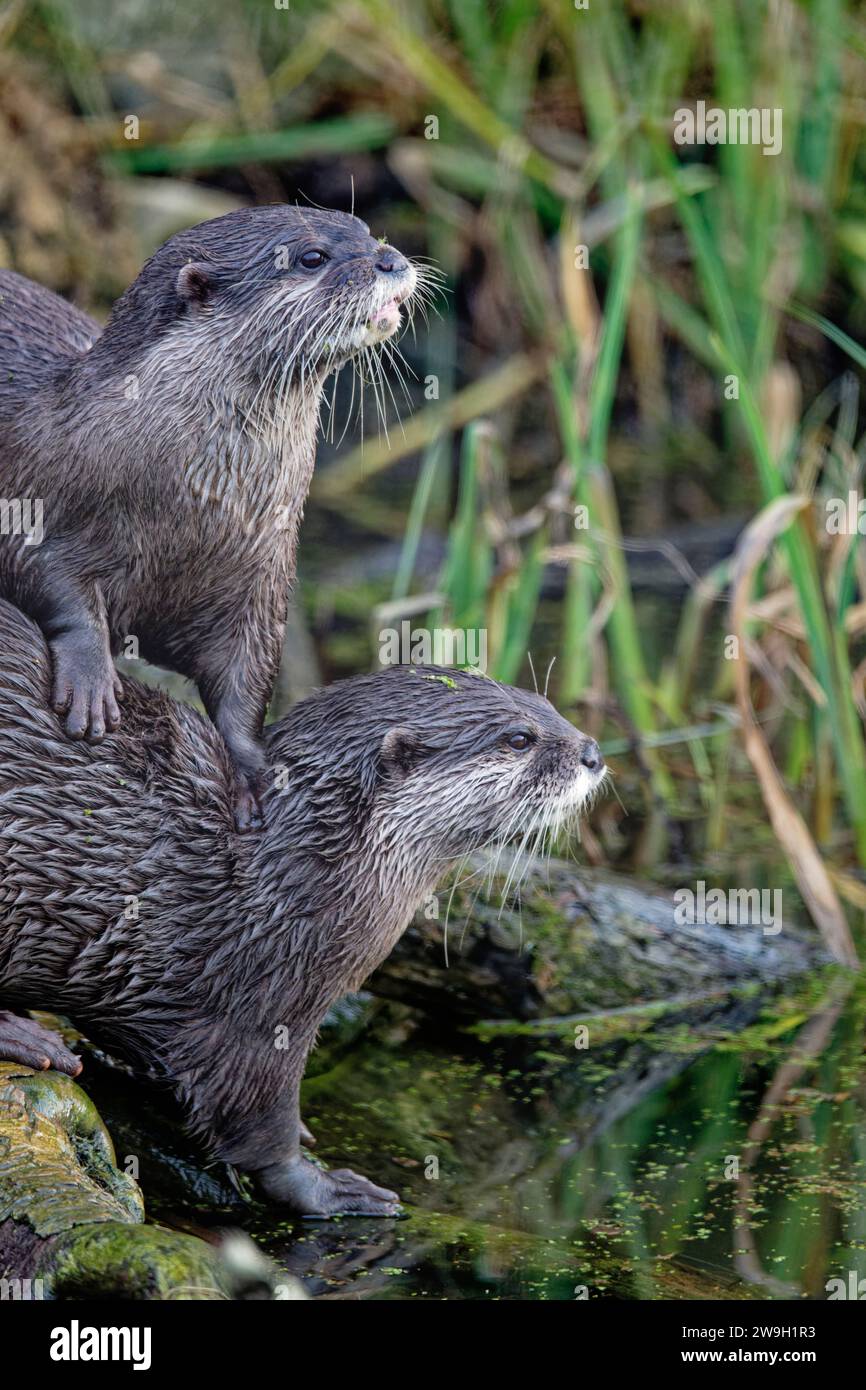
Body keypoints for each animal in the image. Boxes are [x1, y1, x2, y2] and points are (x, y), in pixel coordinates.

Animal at [0, 206, 419, 829]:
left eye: (366, 231)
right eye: (311, 257)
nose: (390, 259)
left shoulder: (258, 578)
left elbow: (246, 680)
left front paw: (252, 770)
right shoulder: (34, 492)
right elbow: (52, 579)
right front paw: (92, 679)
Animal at [0, 600, 605, 1216]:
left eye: (549, 707)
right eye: (519, 739)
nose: (593, 752)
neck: (276, 868)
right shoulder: (254, 1000)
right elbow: (255, 1117)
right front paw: (327, 1186)